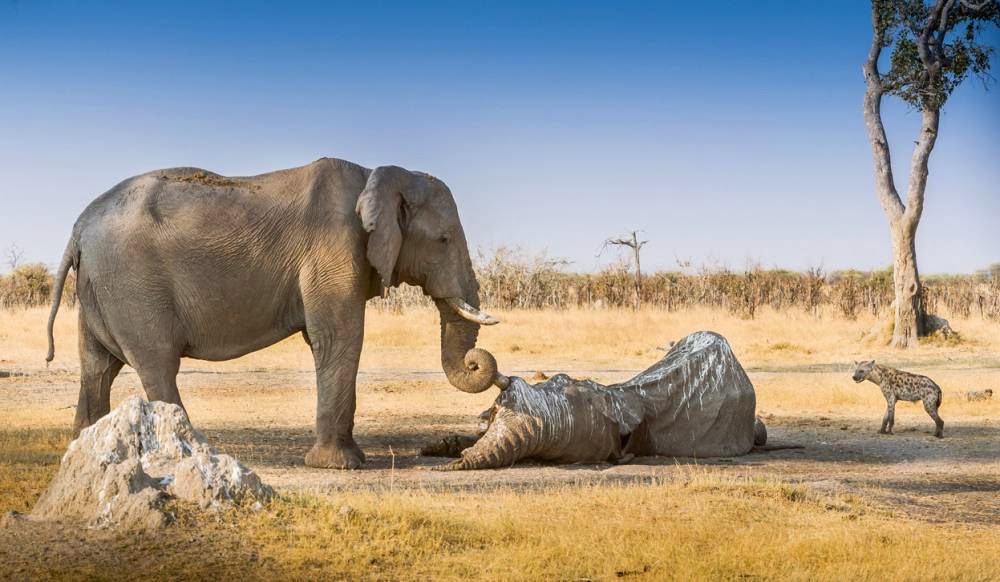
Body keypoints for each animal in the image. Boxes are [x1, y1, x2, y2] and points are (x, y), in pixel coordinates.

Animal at [46, 157, 503, 469]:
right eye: (444, 239)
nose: (483, 367)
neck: (377, 174)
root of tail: (78, 227)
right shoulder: (335, 249)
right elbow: (338, 337)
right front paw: (343, 466)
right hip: (132, 285)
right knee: (157, 366)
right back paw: (188, 455)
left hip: (99, 288)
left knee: (97, 367)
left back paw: (84, 454)